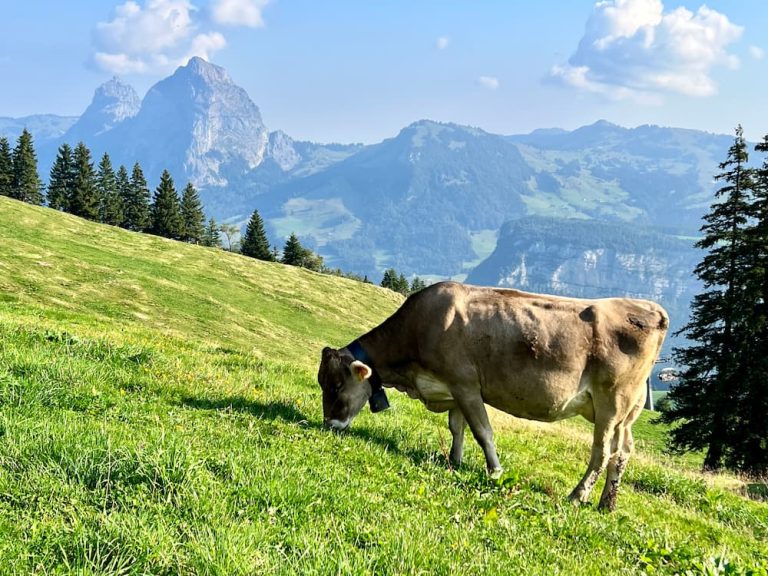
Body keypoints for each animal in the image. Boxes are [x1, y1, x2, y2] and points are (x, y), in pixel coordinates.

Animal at [317, 281, 668, 511]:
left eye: (335, 386)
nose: (329, 424)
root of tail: (650, 308)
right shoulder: (453, 389)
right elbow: (456, 427)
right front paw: (455, 460)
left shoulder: (466, 384)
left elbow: (482, 431)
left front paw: (495, 471)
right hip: (627, 413)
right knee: (623, 452)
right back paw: (607, 503)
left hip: (612, 402)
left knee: (603, 451)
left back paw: (577, 495)